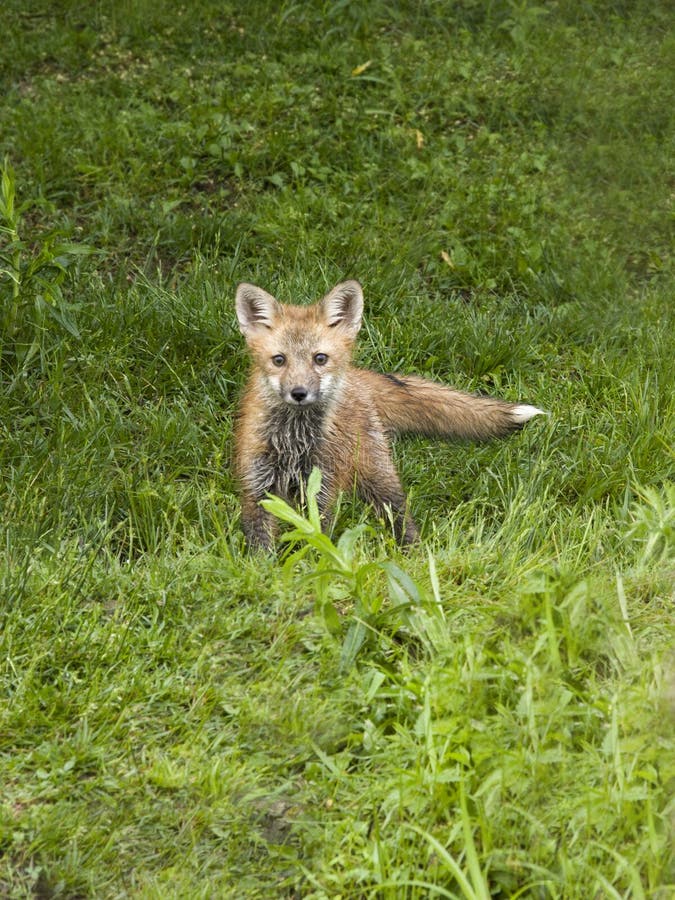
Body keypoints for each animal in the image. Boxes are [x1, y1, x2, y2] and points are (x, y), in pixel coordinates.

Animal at [234, 279, 544, 549]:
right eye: (279, 360)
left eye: (320, 359)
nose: (299, 393)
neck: (293, 443)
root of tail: (359, 377)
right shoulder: (257, 484)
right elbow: (260, 541)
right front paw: (265, 570)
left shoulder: (322, 486)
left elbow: (318, 533)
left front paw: (314, 563)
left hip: (379, 477)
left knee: (400, 516)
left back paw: (412, 553)